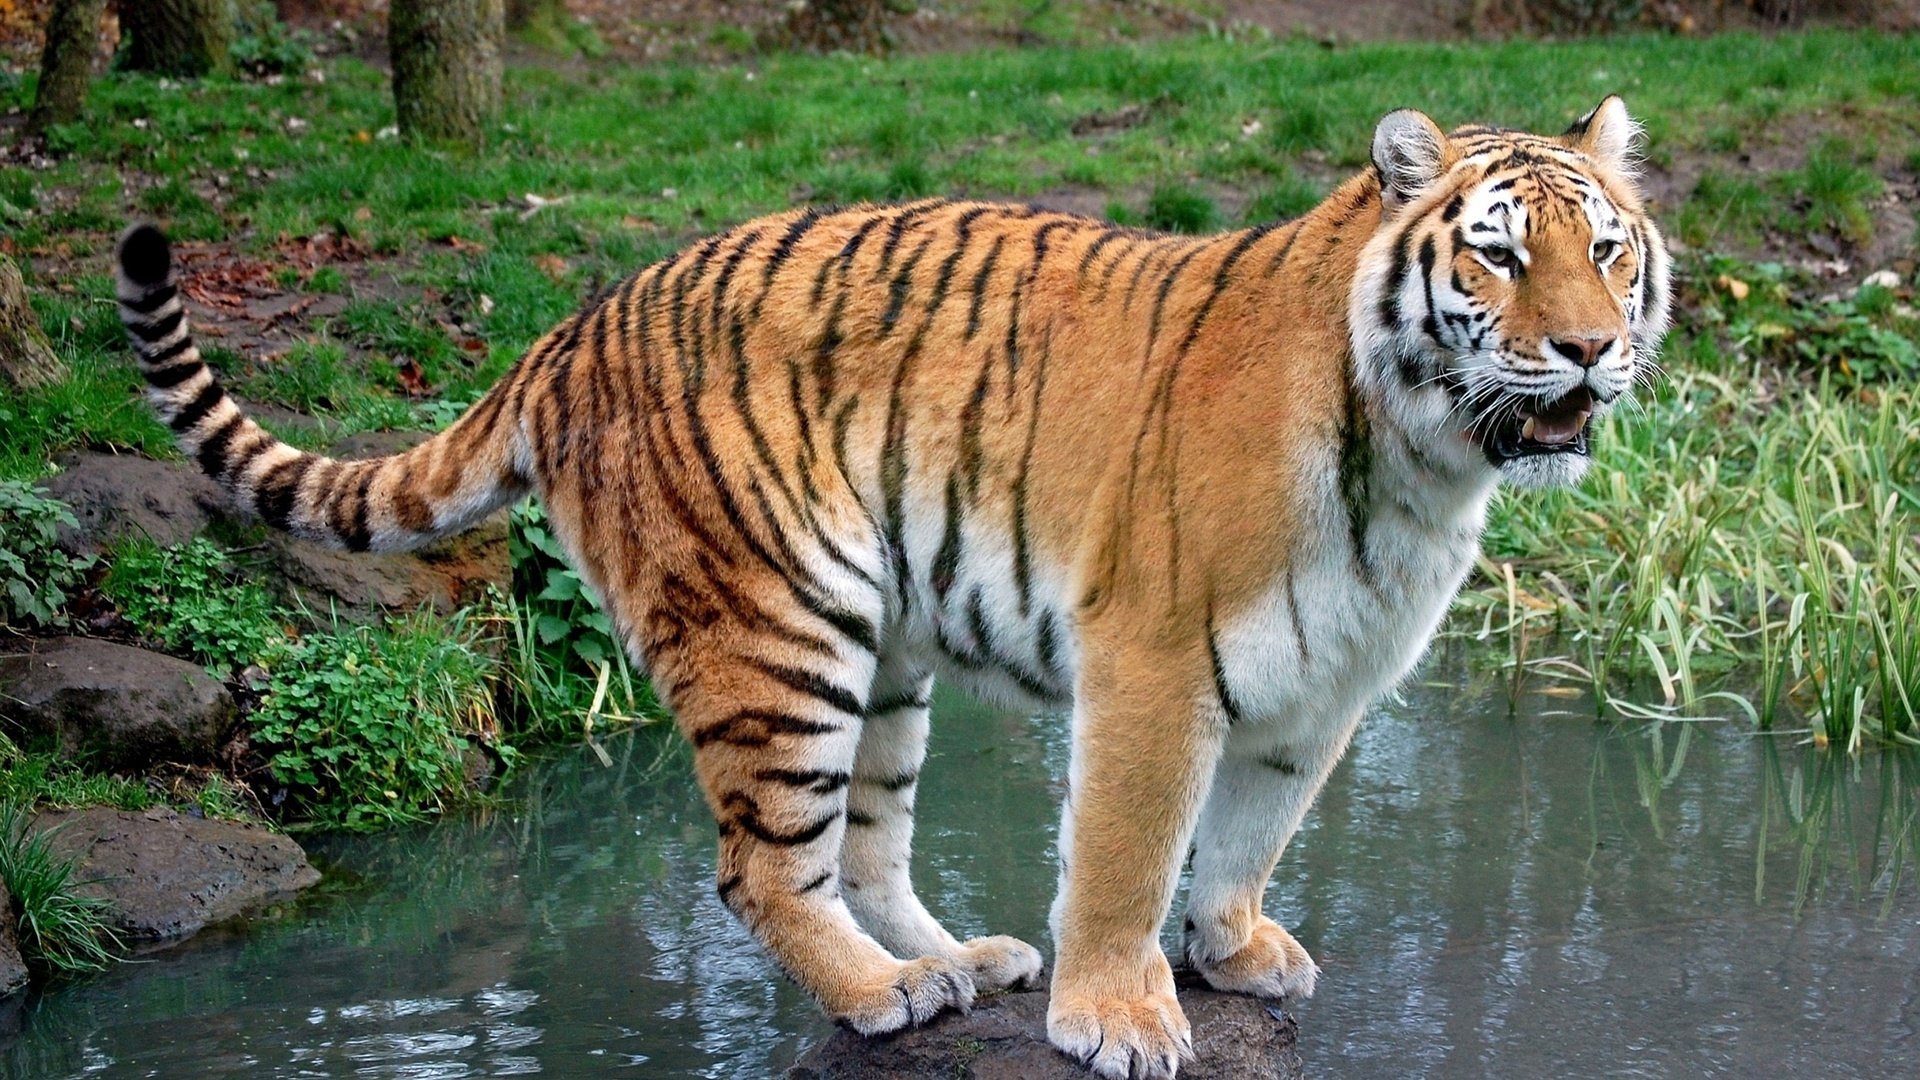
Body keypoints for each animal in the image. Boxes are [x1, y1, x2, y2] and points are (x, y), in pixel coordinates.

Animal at [115, 95, 1669, 1078]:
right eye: (1497, 253)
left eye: (1607, 250)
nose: (1590, 350)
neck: (1424, 462)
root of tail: (574, 322)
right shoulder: (1156, 661)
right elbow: (1130, 849)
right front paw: (1121, 1016)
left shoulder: (1327, 683)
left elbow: (1249, 837)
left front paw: (1231, 953)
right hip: (775, 627)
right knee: (759, 867)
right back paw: (885, 995)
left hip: (886, 649)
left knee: (861, 845)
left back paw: (964, 962)